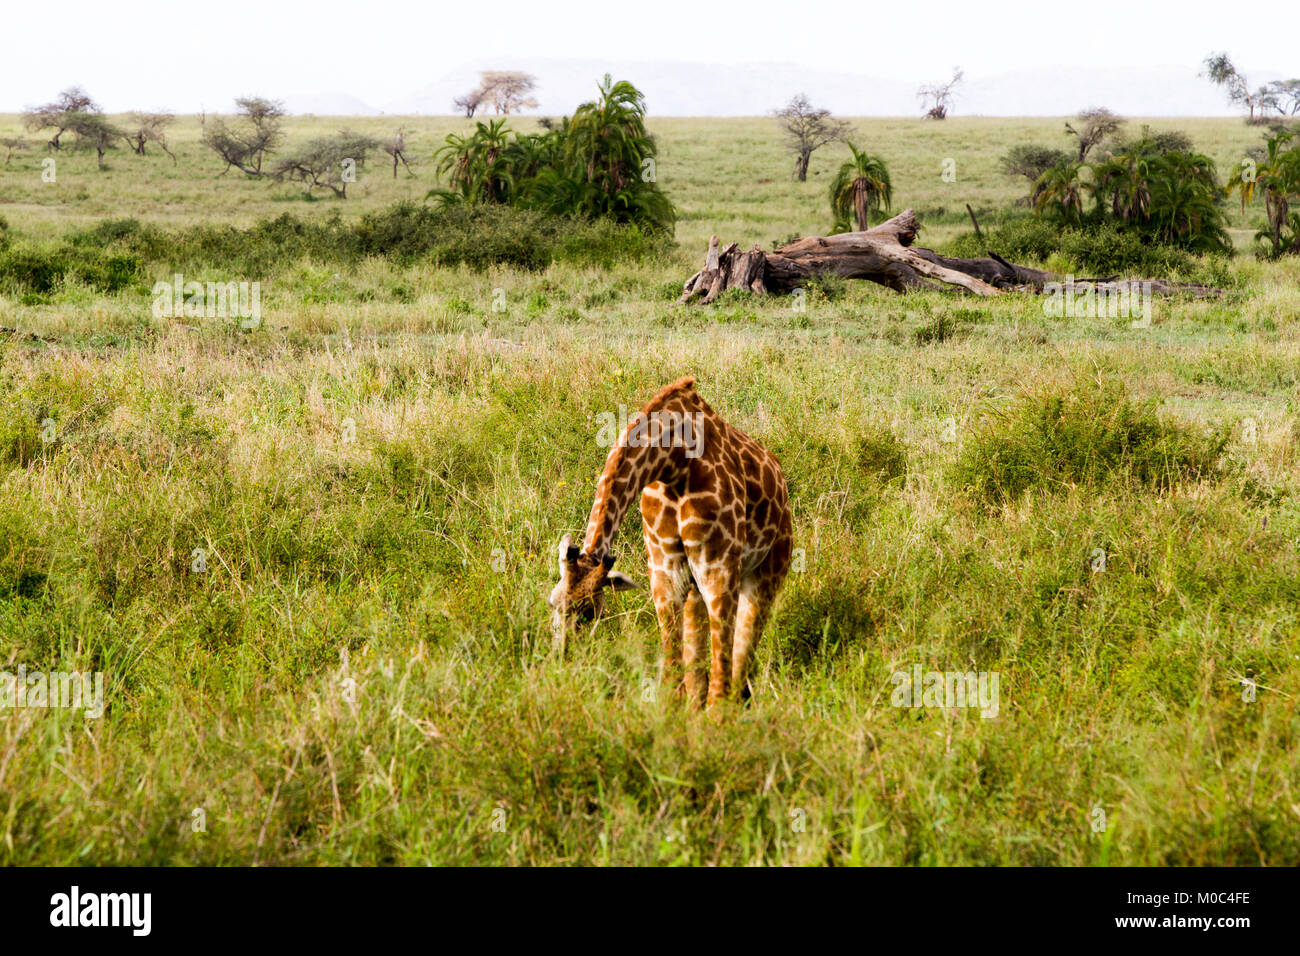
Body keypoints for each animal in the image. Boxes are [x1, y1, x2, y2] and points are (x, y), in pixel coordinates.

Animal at [548, 377, 793, 707]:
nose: (564, 659)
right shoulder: (664, 567)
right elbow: (675, 661)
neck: (673, 462)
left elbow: (720, 664)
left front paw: (715, 718)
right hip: (697, 586)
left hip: (769, 571)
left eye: (591, 614)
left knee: (741, 656)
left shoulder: (719, 566)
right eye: (553, 603)